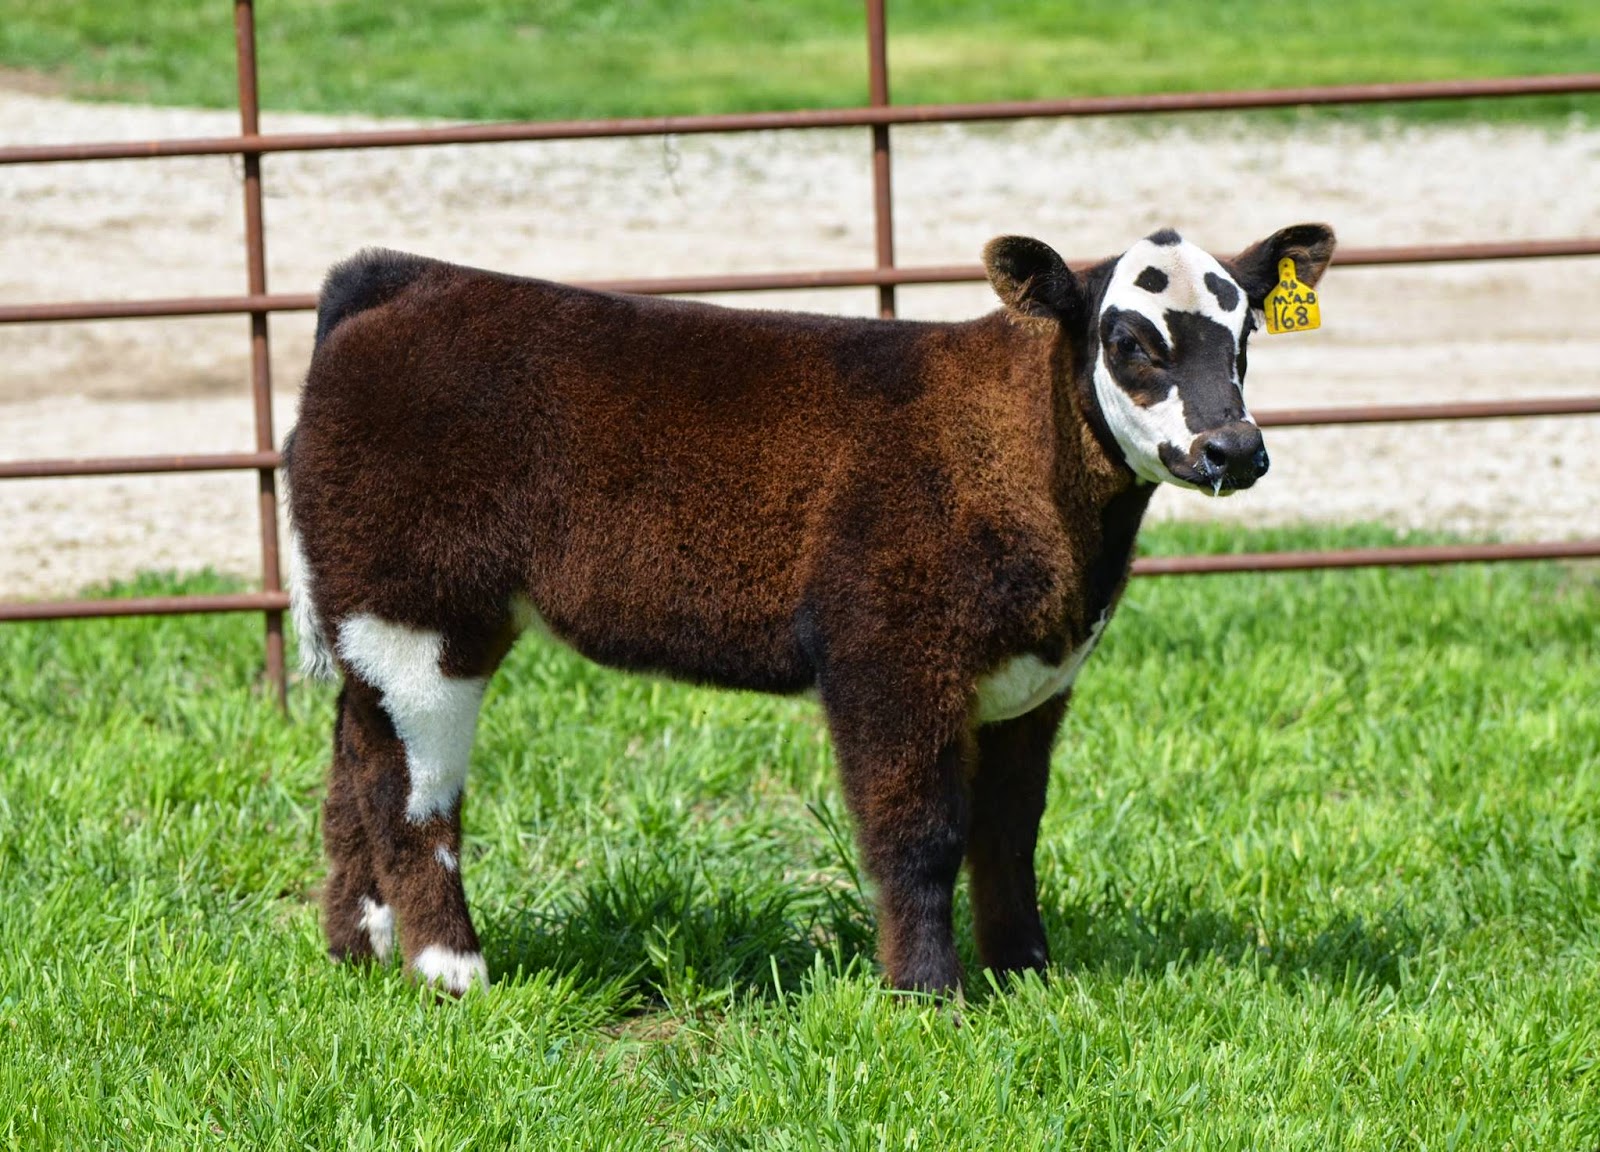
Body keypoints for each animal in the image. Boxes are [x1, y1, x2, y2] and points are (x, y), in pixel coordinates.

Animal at [285, 223, 1336, 995]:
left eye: (1247, 339)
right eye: (1128, 342)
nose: (1235, 450)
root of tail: (401, 280)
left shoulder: (1033, 680)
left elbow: (1010, 832)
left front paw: (1027, 976)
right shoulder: (889, 654)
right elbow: (919, 832)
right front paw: (929, 993)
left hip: (375, 625)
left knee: (351, 765)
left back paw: (357, 952)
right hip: (421, 612)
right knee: (409, 793)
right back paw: (449, 969)